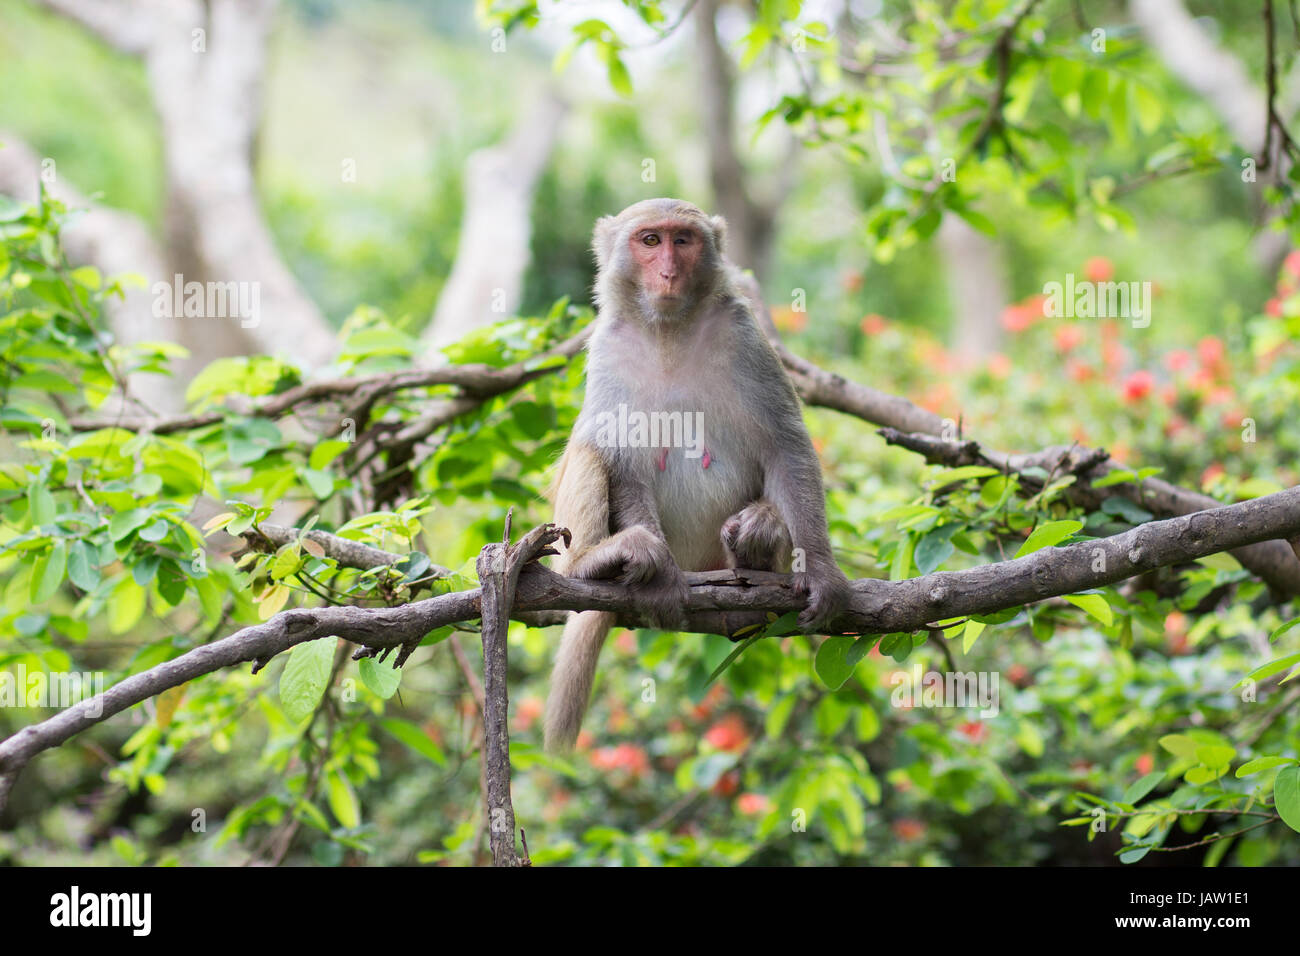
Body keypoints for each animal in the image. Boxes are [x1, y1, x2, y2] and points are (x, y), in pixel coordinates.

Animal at [543, 198, 851, 752]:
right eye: (649, 240)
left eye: (682, 241)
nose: (668, 271)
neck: (667, 328)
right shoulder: (607, 348)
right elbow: (620, 455)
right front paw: (657, 579)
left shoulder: (744, 335)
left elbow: (786, 446)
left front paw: (819, 570)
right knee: (590, 445)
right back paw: (592, 563)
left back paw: (752, 545)